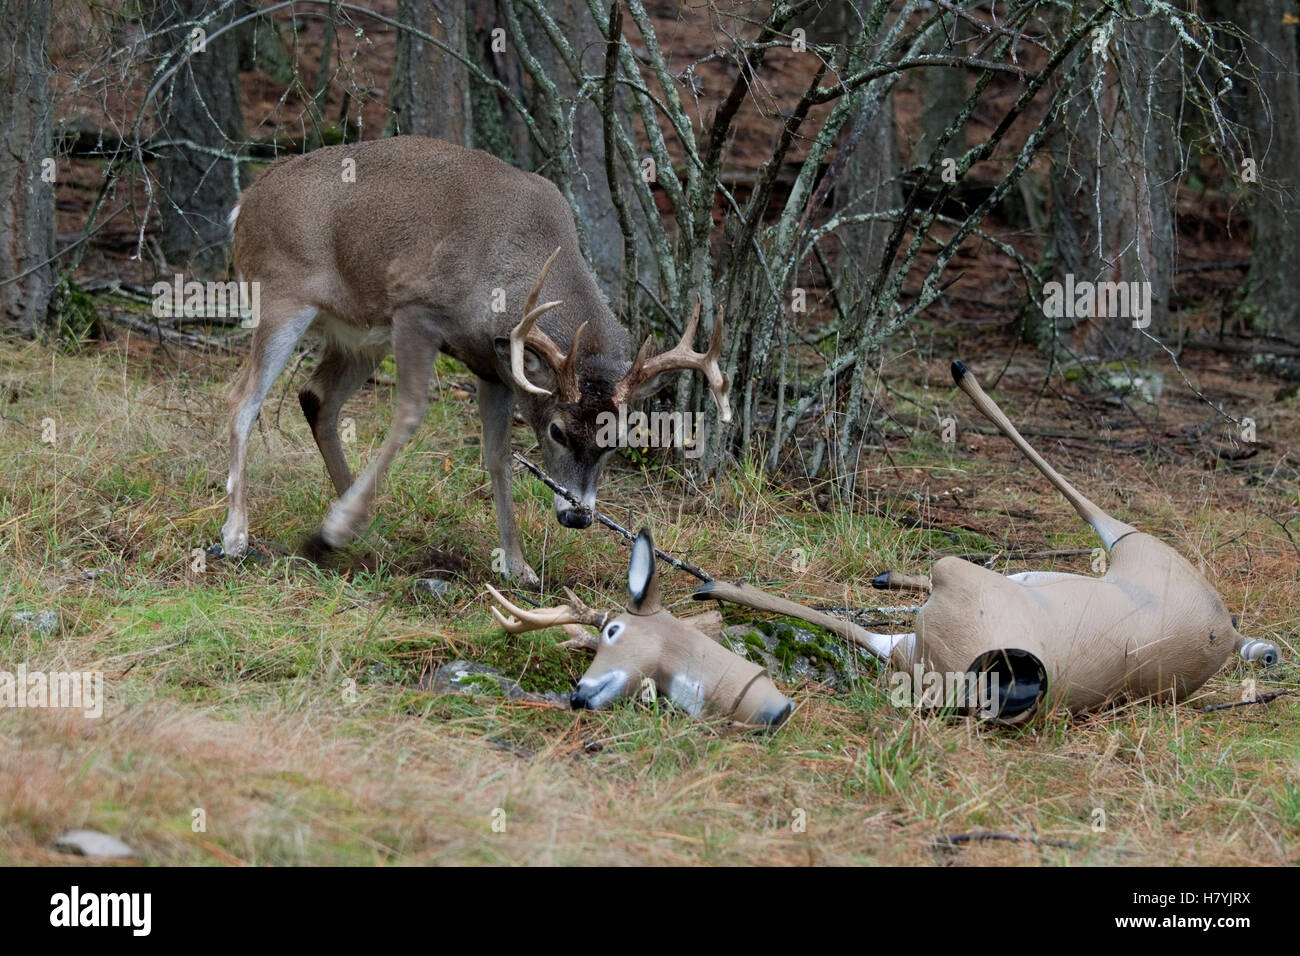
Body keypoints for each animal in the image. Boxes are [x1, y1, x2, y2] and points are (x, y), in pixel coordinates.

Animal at [218, 137, 730, 587]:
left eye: (616, 439)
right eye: (558, 431)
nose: (578, 517)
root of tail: (243, 205)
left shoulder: (494, 366)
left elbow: (499, 456)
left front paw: (518, 565)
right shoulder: (416, 309)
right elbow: (409, 414)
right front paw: (333, 528)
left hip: (359, 333)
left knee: (317, 396)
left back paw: (365, 533)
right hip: (282, 293)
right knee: (242, 399)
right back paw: (238, 535)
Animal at [694, 360, 1280, 724]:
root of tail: (1226, 630)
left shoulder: (946, 585)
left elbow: (849, 624)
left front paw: (714, 585)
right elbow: (853, 625)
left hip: (1132, 544)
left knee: (1093, 510)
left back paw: (963, 375)